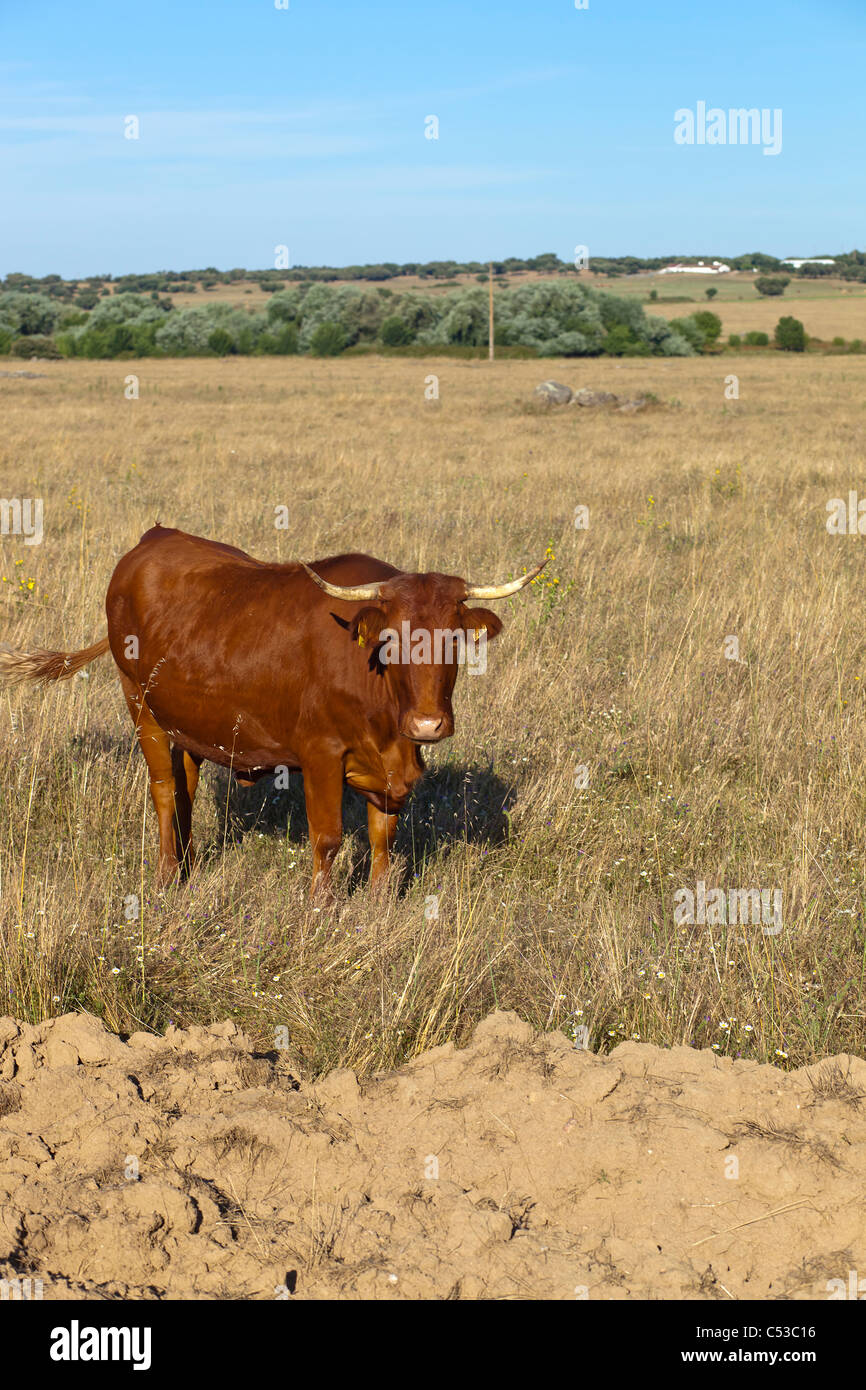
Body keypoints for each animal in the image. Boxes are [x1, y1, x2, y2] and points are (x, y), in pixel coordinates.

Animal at [0, 525, 544, 897]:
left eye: (455, 638)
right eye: (391, 638)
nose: (428, 724)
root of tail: (155, 537)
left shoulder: (391, 770)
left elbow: (383, 838)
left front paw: (379, 904)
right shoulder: (321, 754)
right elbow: (327, 837)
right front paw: (321, 910)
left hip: (189, 722)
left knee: (185, 787)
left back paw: (188, 868)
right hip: (140, 704)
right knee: (163, 790)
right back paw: (165, 878)